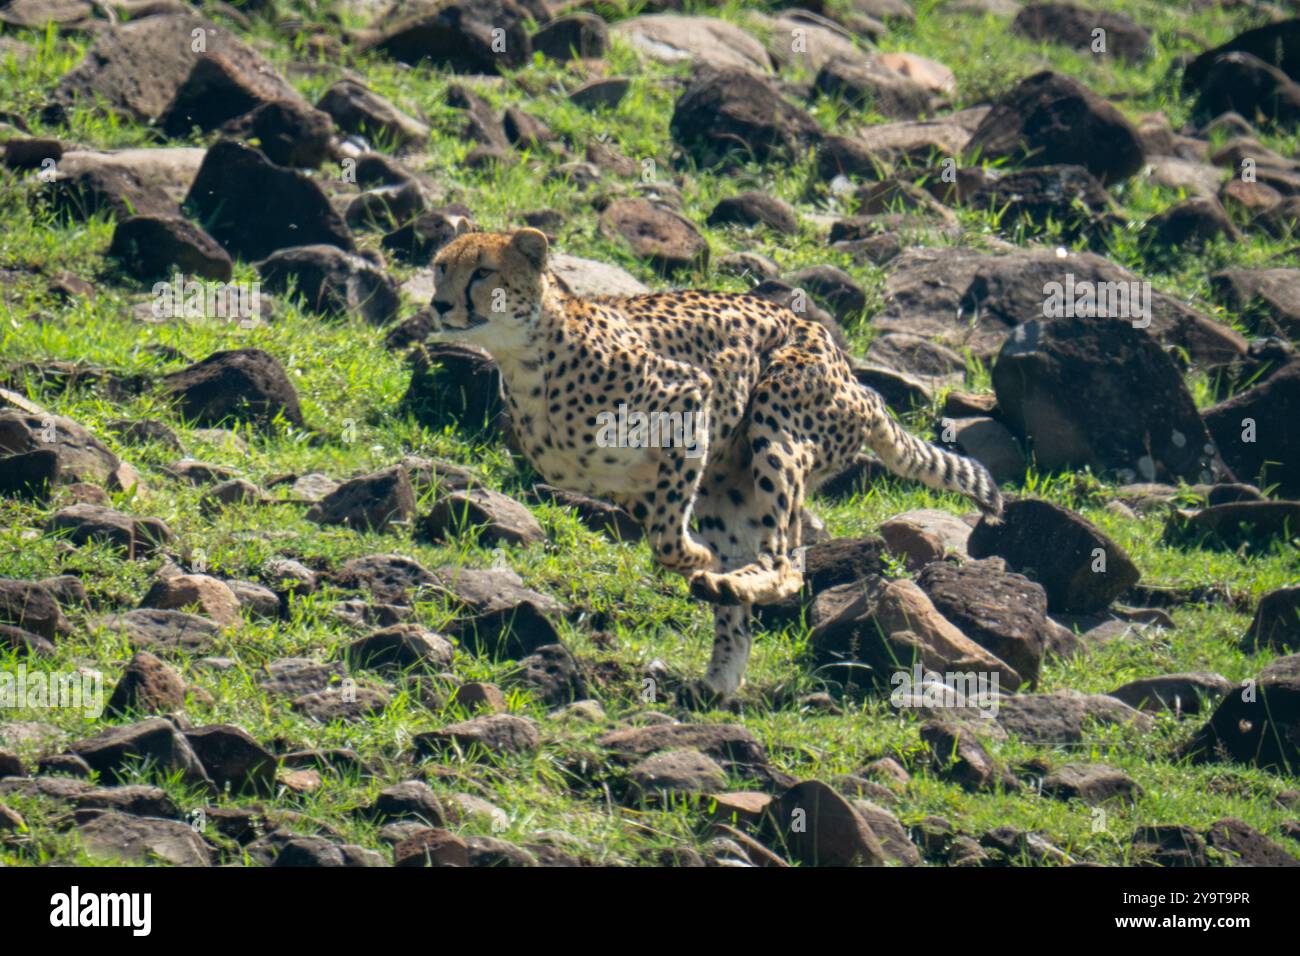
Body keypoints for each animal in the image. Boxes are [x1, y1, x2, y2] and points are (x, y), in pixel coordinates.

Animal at [426, 228, 1003, 702]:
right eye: (440, 265)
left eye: (483, 271)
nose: (438, 303)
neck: (528, 357)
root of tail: (855, 379)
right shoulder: (629, 482)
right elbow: (661, 525)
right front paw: (702, 564)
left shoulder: (689, 396)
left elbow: (666, 539)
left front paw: (695, 557)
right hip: (726, 489)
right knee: (767, 566)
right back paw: (720, 667)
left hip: (777, 420)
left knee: (787, 564)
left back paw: (723, 585)